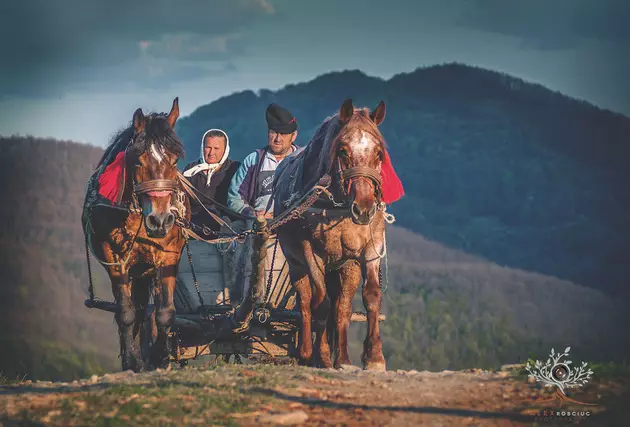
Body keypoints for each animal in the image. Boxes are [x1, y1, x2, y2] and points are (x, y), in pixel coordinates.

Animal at [84, 98, 193, 372]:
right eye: (137, 161)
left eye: (174, 161)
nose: (161, 220)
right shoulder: (113, 258)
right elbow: (125, 312)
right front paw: (133, 361)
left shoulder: (168, 256)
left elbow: (164, 311)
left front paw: (160, 357)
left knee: (146, 309)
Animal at [272, 98, 402, 370]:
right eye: (342, 151)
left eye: (379, 153)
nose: (364, 208)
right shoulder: (311, 252)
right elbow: (320, 302)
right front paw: (321, 356)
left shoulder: (371, 247)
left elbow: (370, 296)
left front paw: (374, 357)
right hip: (296, 262)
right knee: (306, 299)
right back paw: (307, 351)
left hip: (345, 265)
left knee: (342, 306)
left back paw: (342, 357)